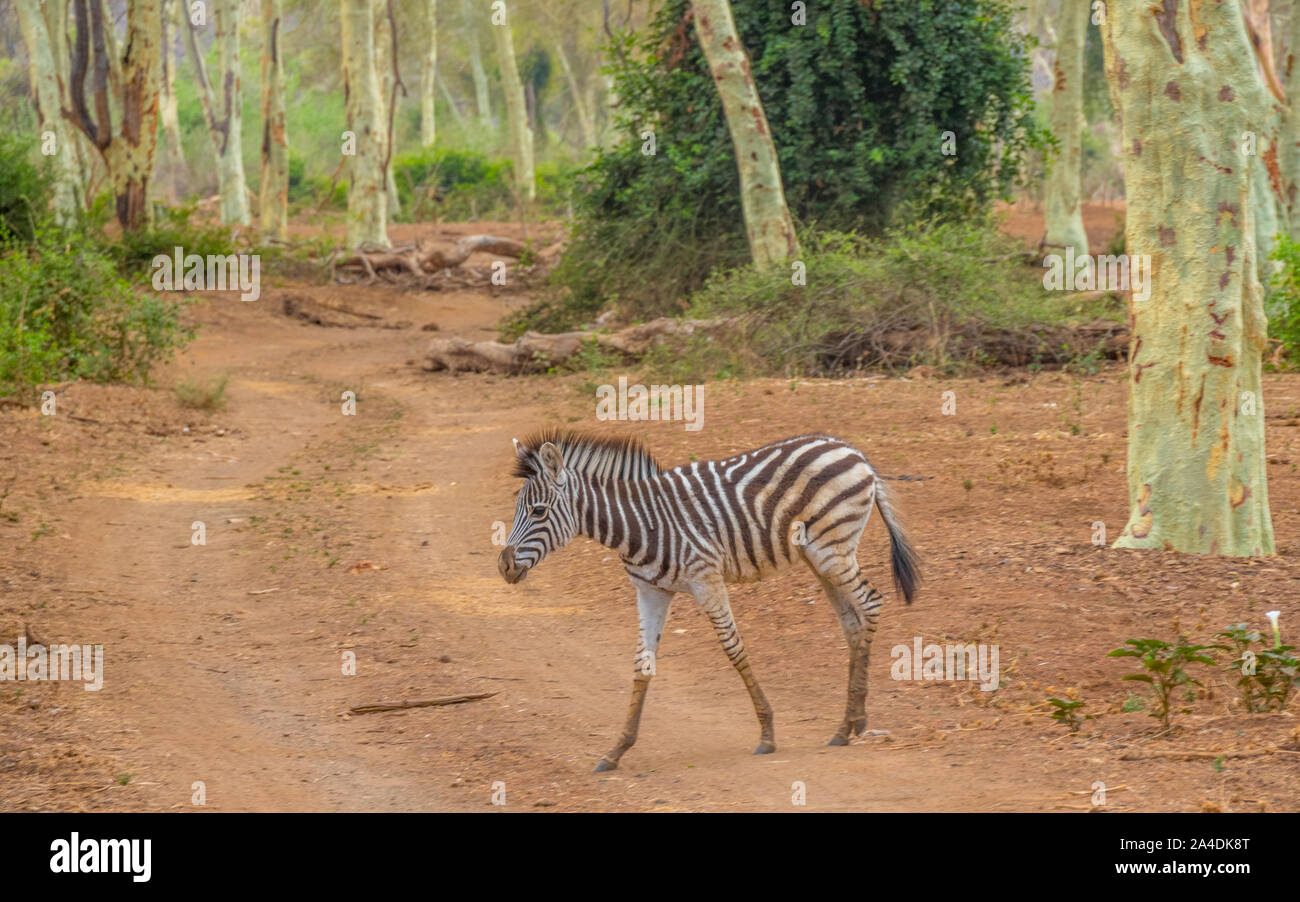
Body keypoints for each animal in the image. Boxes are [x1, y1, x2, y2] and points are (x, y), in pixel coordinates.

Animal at [497, 430, 919, 772]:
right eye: (517, 509)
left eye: (538, 511)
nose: (503, 565)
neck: (639, 525)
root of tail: (851, 449)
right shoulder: (650, 591)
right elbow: (642, 665)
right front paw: (617, 750)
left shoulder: (706, 579)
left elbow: (735, 650)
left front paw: (767, 734)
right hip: (820, 559)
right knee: (852, 622)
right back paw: (847, 725)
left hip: (833, 548)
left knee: (870, 605)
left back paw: (855, 719)